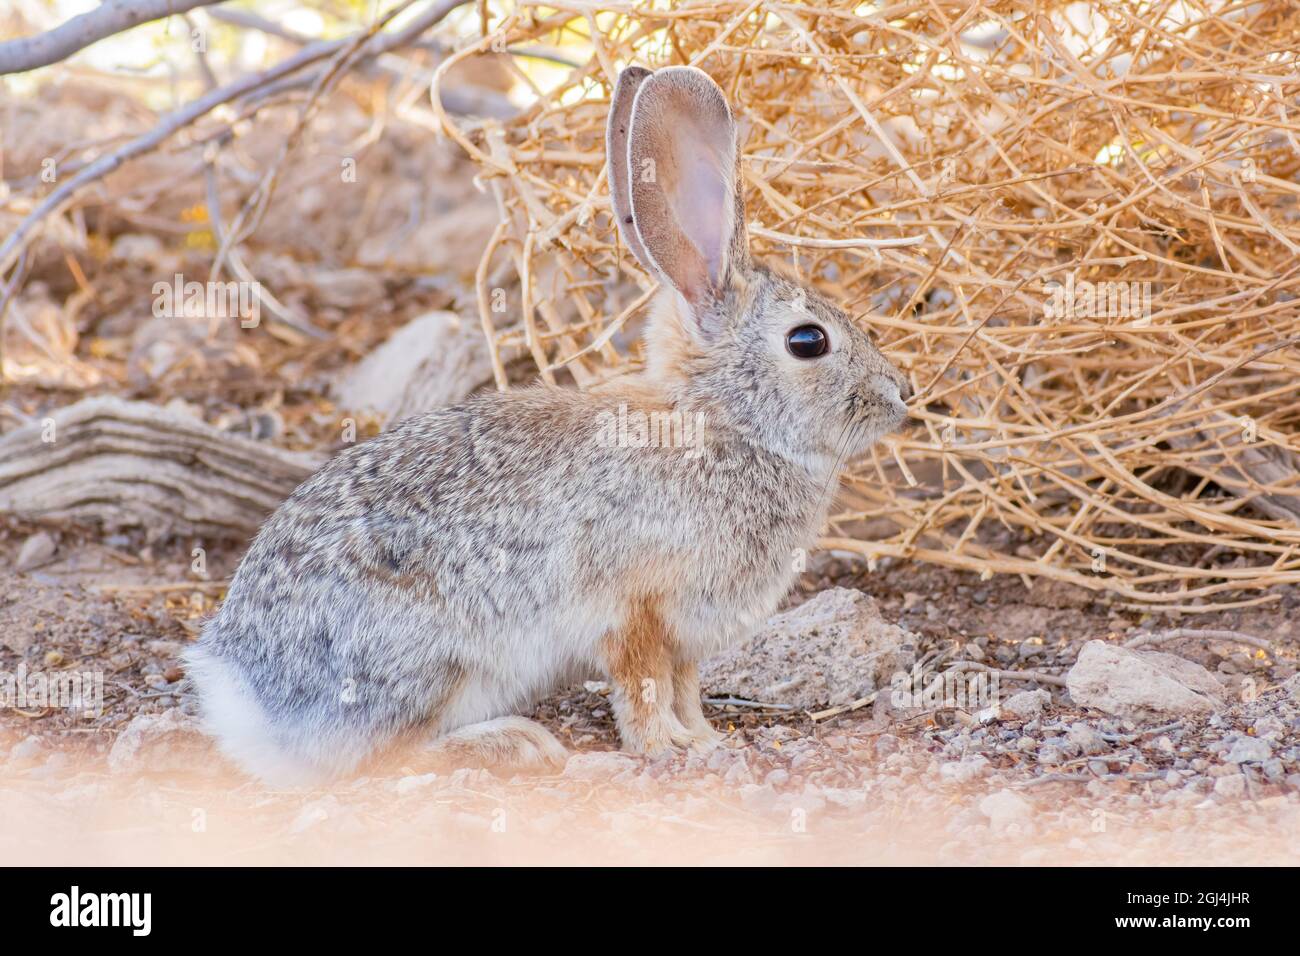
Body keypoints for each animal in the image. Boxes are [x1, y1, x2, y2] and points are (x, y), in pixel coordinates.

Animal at [184, 65, 912, 786]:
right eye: (808, 341)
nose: (901, 393)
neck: (722, 423)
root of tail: (244, 698)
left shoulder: (687, 637)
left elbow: (684, 688)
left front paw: (705, 740)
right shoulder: (635, 612)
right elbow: (644, 688)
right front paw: (667, 748)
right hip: (426, 662)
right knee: (385, 759)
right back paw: (512, 744)